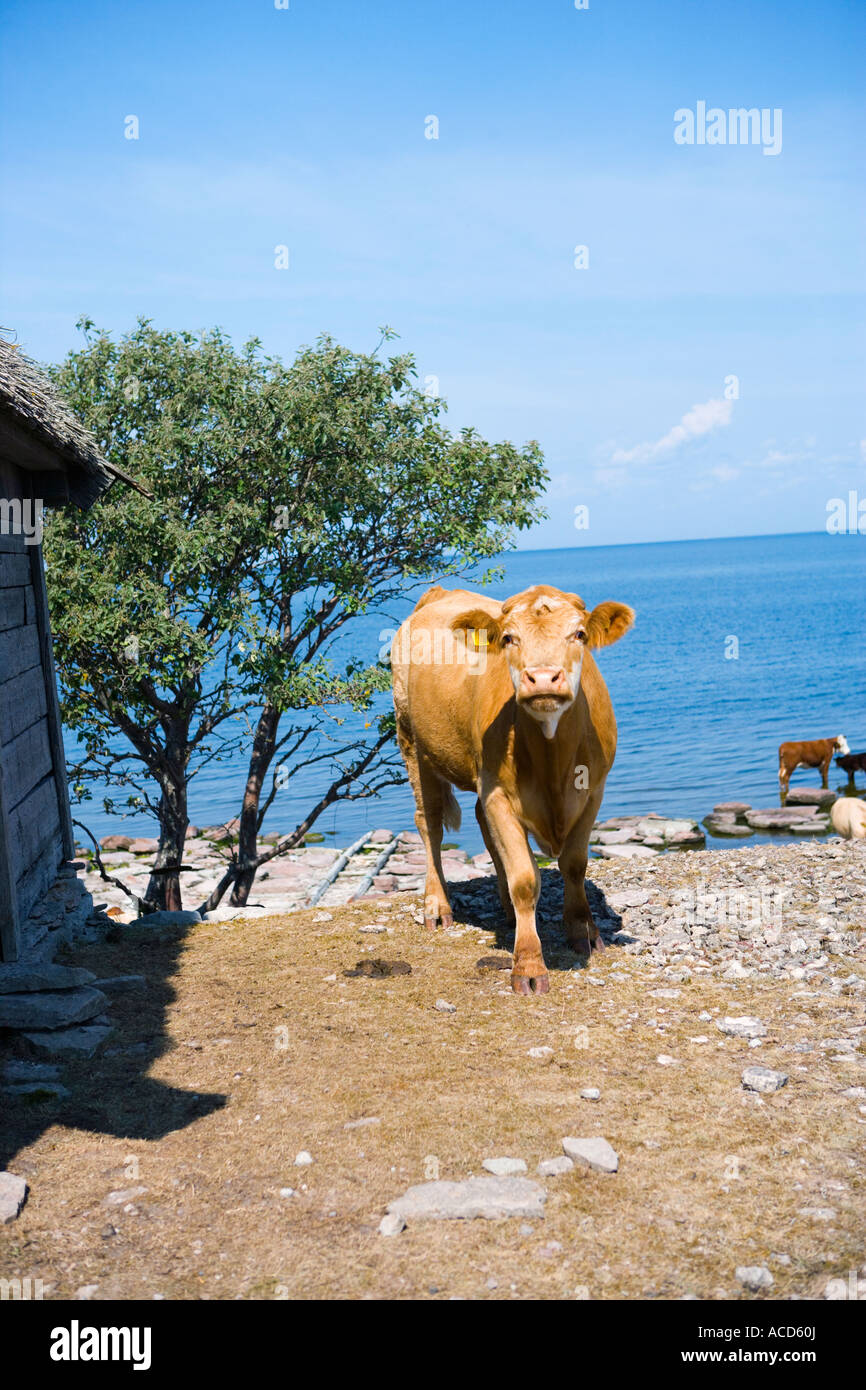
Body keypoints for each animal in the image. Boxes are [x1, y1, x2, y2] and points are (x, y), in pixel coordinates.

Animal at [391, 583, 634, 995]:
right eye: (508, 638)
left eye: (579, 634)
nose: (543, 678)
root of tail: (442, 592)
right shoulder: (499, 794)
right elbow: (525, 879)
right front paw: (529, 966)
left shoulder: (593, 792)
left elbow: (574, 865)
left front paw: (583, 931)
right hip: (411, 740)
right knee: (430, 824)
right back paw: (437, 907)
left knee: (481, 825)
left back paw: (505, 909)